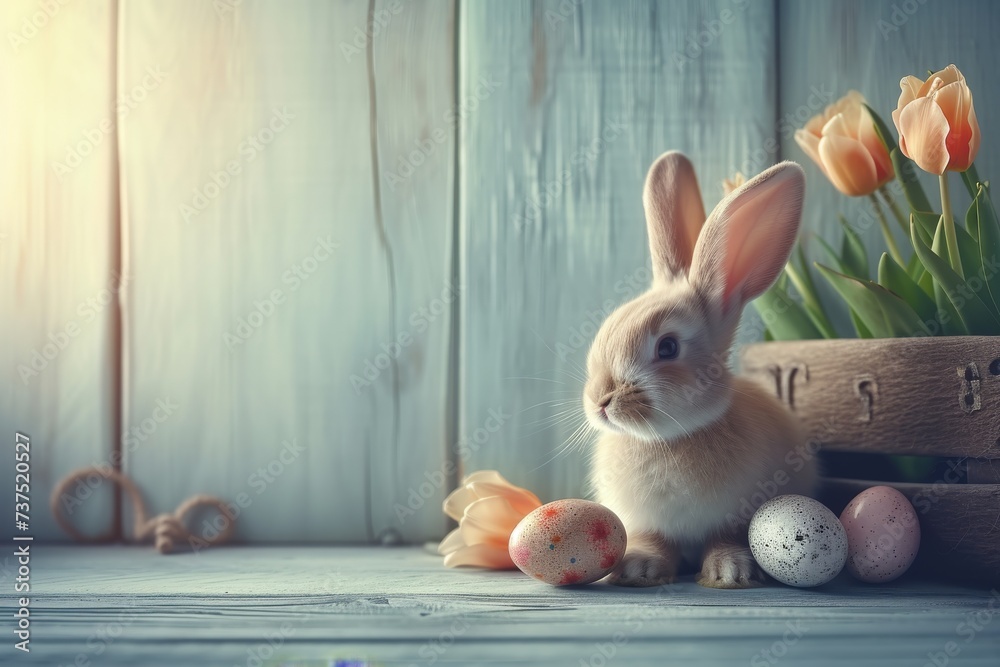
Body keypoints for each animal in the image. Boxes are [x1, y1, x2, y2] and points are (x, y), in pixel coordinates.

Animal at [583, 152, 818, 589]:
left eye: (668, 347)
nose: (600, 401)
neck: (668, 438)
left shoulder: (736, 515)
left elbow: (725, 538)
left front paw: (731, 572)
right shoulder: (646, 522)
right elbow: (654, 541)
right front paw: (638, 568)